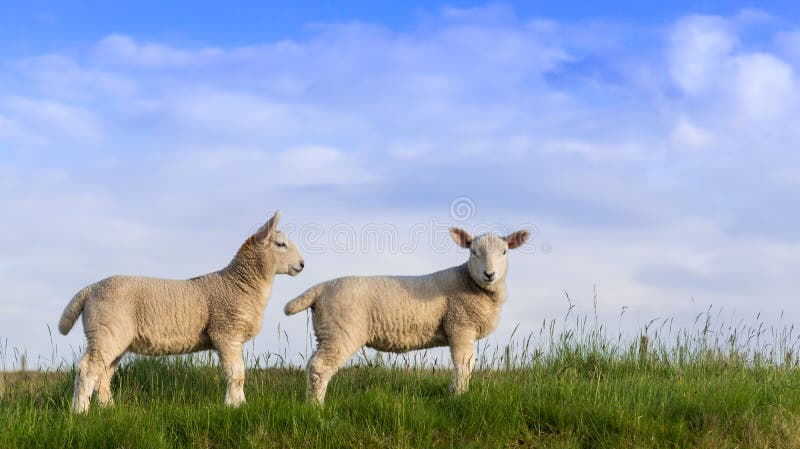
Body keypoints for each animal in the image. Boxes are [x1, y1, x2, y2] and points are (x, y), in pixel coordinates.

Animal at [58, 211, 304, 413]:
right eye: (281, 244)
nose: (302, 264)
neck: (238, 284)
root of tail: (90, 289)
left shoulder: (232, 336)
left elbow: (240, 374)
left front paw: (241, 404)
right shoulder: (225, 332)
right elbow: (235, 373)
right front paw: (233, 406)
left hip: (114, 335)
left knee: (104, 375)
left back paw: (109, 409)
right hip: (105, 330)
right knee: (87, 370)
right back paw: (80, 412)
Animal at [284, 226, 530, 405]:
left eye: (504, 252)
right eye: (473, 252)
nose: (489, 274)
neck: (469, 282)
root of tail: (321, 288)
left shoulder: (459, 327)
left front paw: (453, 391)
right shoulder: (460, 326)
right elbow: (464, 365)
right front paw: (459, 396)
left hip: (326, 331)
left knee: (311, 365)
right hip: (341, 331)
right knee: (320, 367)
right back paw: (316, 408)